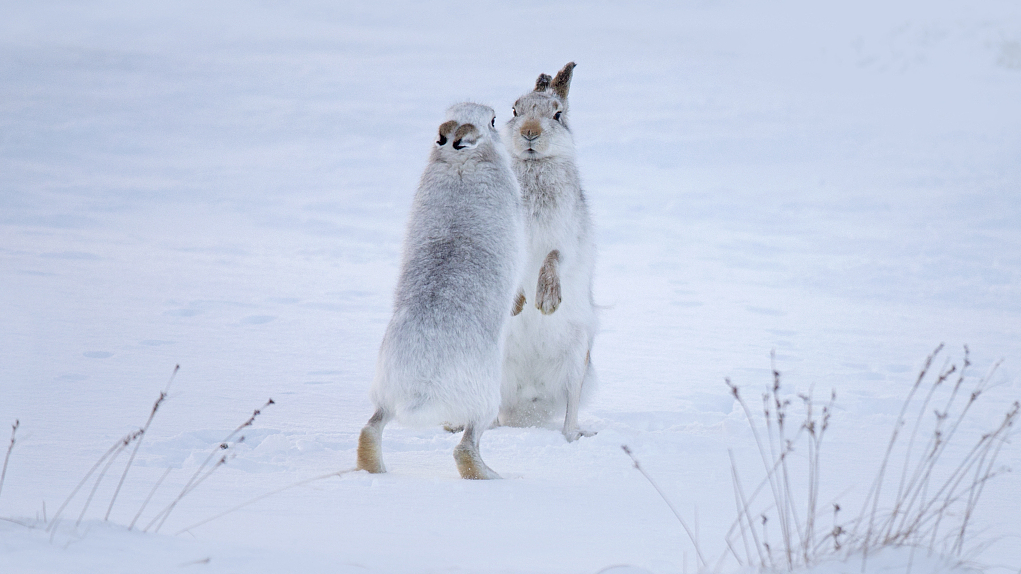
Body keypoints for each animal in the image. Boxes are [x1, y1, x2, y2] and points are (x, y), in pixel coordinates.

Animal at [356, 102, 524, 480]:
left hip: (385, 390)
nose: (500, 120)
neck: (459, 162)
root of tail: (422, 390)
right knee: (465, 446)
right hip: (484, 400)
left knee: (371, 427)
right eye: (492, 121)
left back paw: (375, 470)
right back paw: (494, 478)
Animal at [499, 62, 599, 442]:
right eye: (514, 111)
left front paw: (547, 301)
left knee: (571, 406)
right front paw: (519, 303)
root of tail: (529, 401)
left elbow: (554, 257)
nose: (529, 133)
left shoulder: (567, 238)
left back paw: (574, 436)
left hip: (577, 357)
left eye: (557, 115)